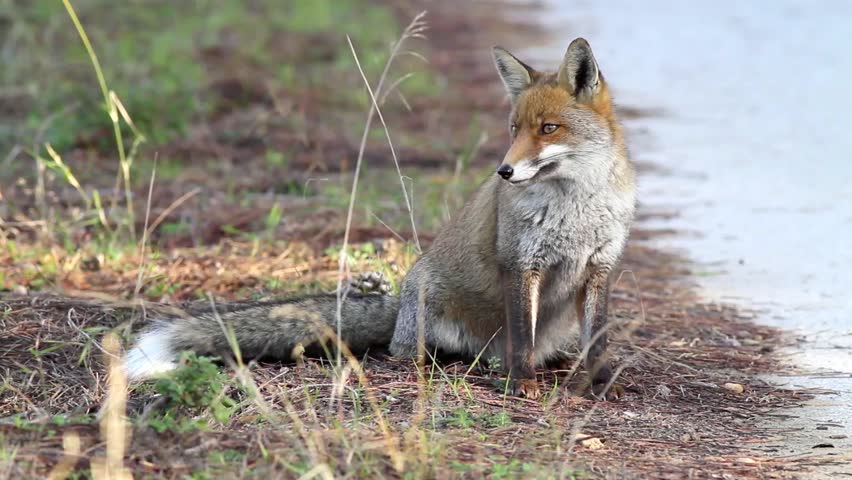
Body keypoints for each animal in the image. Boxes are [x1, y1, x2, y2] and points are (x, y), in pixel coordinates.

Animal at [125, 37, 636, 400]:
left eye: (548, 128)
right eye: (514, 129)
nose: (504, 172)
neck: (575, 207)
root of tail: (399, 307)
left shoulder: (599, 267)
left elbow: (597, 339)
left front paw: (597, 386)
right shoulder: (520, 262)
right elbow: (521, 339)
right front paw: (522, 384)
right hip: (426, 314)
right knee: (405, 352)